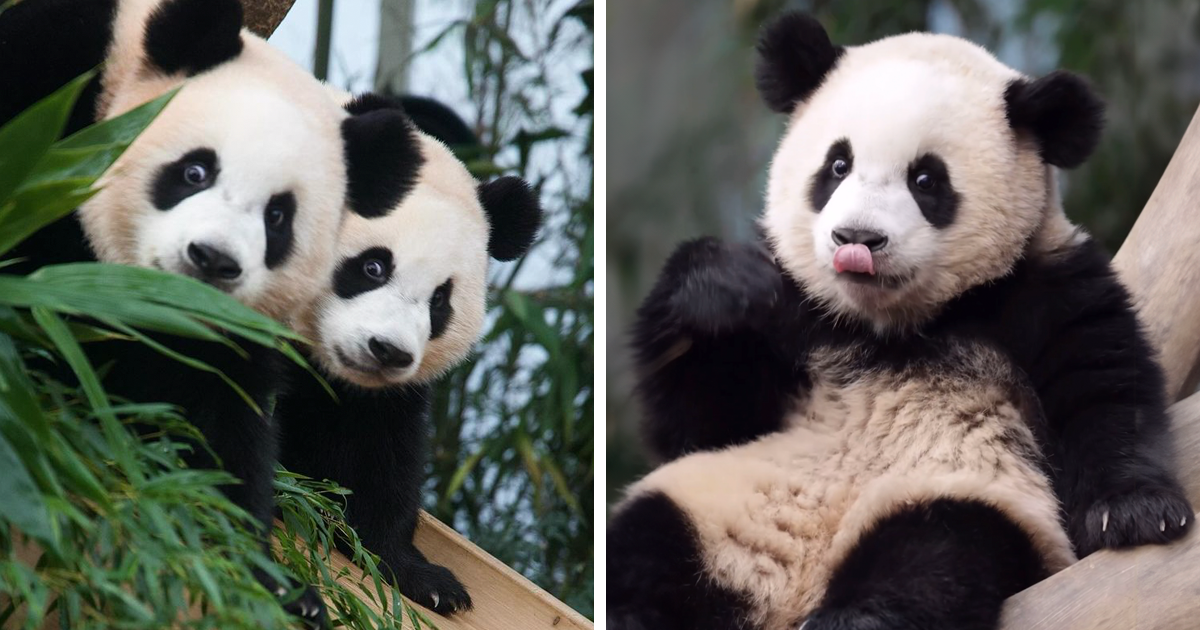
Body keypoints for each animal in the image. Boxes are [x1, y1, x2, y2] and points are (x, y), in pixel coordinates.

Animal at [0, 0, 418, 625]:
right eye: (195, 172)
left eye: (278, 217)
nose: (212, 259)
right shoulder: (50, 81)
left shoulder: (226, 325)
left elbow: (220, 417)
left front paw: (264, 579)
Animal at [273, 92, 542, 615]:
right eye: (373, 266)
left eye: (440, 300)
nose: (387, 350)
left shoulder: (382, 395)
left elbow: (381, 456)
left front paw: (424, 578)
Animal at [608, 12, 1193, 630]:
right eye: (837, 165)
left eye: (926, 179)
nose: (856, 239)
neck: (888, 323)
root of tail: (792, 591)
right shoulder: (796, 315)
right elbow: (701, 421)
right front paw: (721, 287)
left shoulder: (1043, 286)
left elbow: (1102, 386)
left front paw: (1135, 511)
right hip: (722, 504)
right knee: (648, 541)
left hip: (954, 492)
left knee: (933, 556)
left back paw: (853, 614)